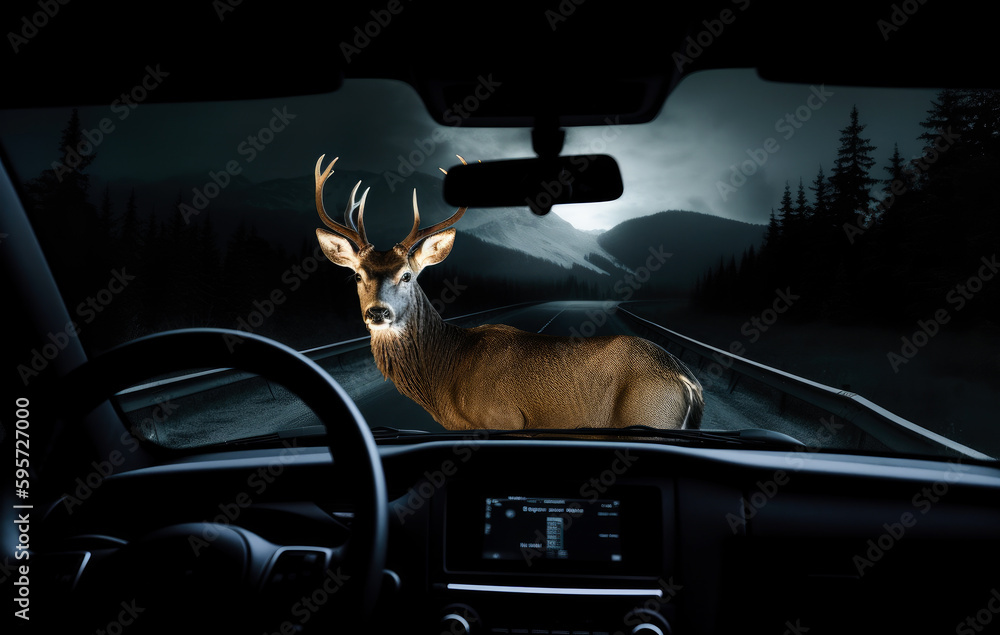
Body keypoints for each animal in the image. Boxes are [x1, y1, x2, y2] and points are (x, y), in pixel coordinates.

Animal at [313, 154, 704, 431]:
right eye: (357, 275)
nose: (377, 312)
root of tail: (688, 382)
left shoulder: (504, 418)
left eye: (407, 275)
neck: (445, 375)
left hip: (650, 413)